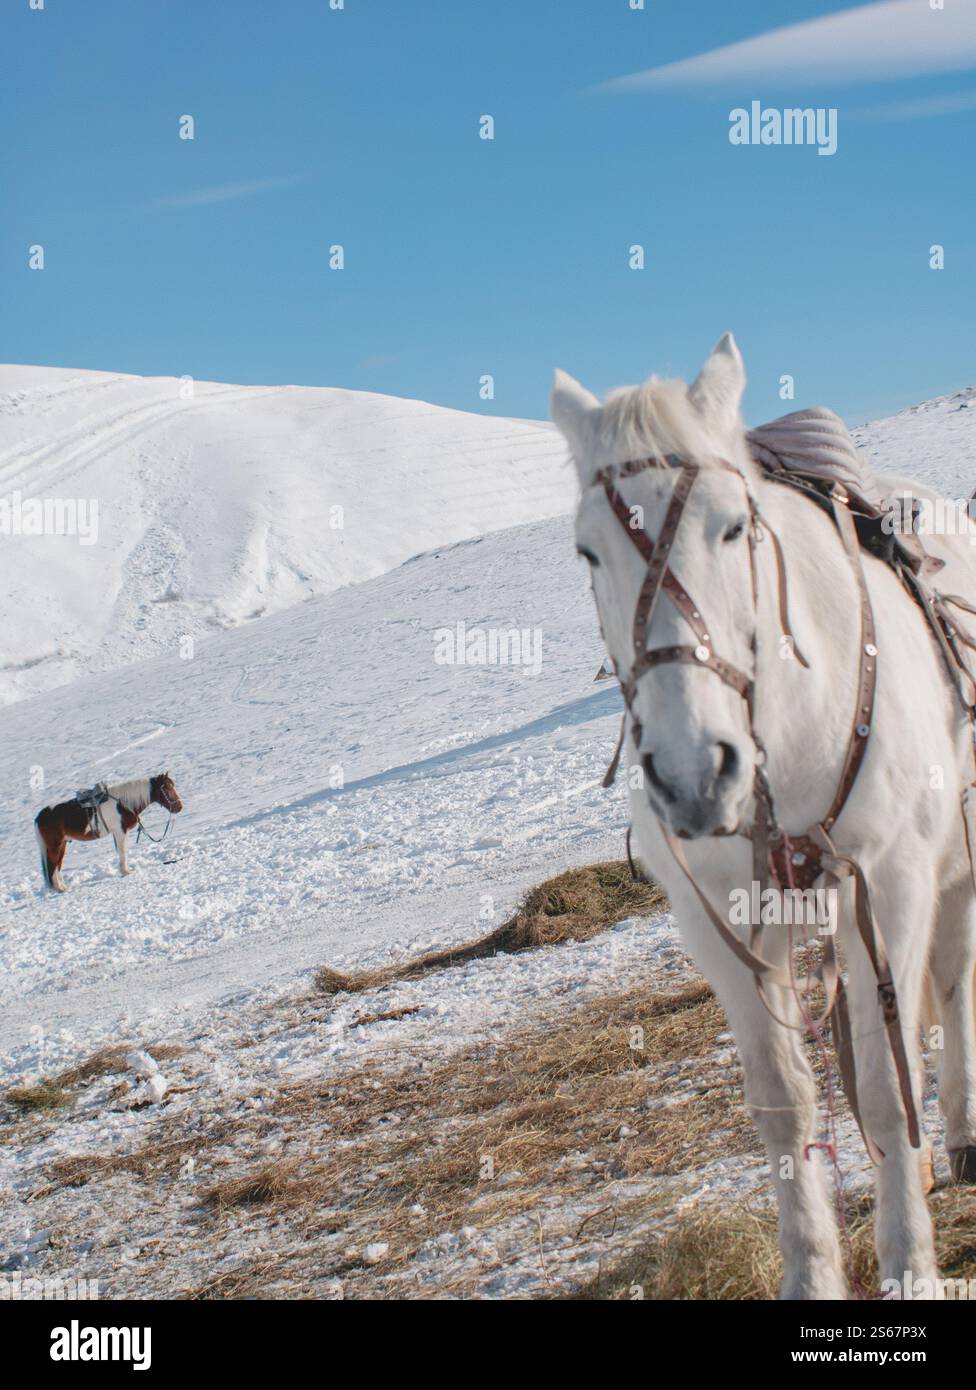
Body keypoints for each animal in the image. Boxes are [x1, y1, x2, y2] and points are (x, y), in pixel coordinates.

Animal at [35, 772, 184, 893]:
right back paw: (60, 889)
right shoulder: (120, 831)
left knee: (57, 865)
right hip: (55, 845)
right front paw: (126, 872)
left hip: (62, 844)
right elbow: (123, 851)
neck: (123, 803)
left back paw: (62, 887)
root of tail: (39, 817)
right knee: (52, 865)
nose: (179, 807)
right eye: (167, 787)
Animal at [551, 333, 976, 1300]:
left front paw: (910, 1266)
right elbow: (785, 1104)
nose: (692, 774)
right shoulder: (719, 920)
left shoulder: (888, 882)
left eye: (732, 526)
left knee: (952, 981)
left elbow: (888, 1087)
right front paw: (813, 1273)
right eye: (588, 553)